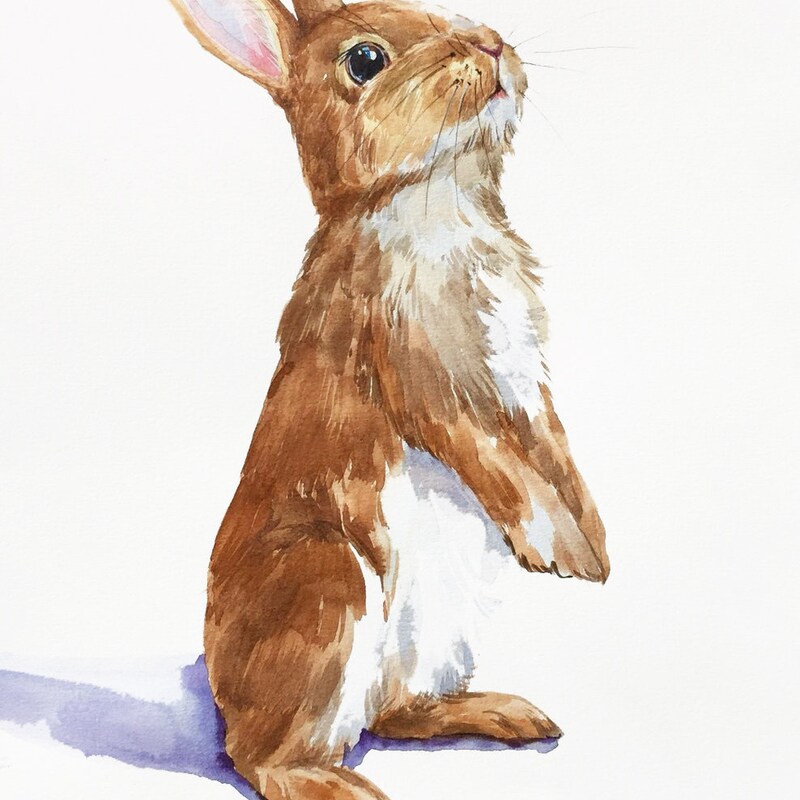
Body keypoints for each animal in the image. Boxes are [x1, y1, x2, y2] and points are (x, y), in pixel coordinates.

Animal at [168, 1, 610, 798]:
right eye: (365, 60)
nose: (489, 43)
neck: (439, 198)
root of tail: (221, 695)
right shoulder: (416, 371)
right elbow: (491, 456)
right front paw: (554, 553)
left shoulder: (526, 384)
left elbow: (553, 448)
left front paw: (594, 552)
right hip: (327, 588)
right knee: (262, 759)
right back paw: (339, 784)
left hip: (436, 635)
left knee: (398, 713)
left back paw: (507, 714)